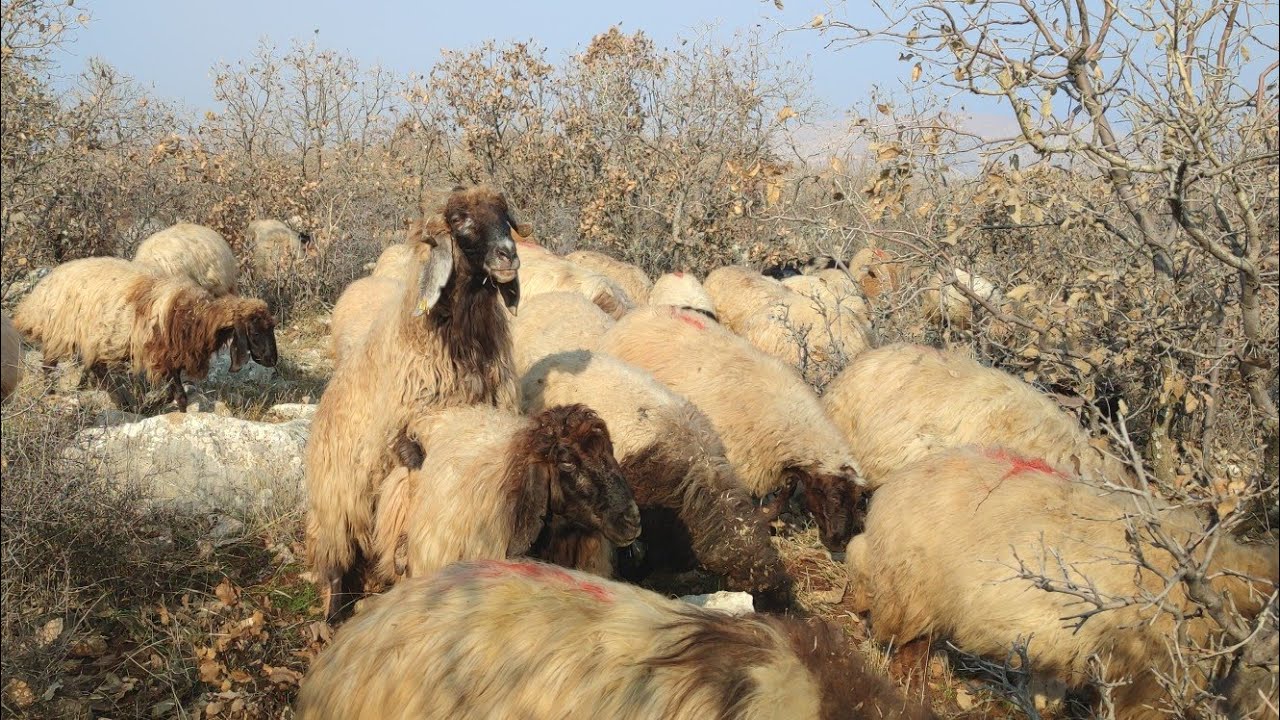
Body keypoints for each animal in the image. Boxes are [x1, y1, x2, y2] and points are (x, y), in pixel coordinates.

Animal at [12, 257, 277, 410]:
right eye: (254, 333)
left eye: (271, 328)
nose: (273, 360)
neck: (194, 315)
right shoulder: (161, 357)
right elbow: (177, 394)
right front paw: (169, 410)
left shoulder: (171, 358)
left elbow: (174, 392)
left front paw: (154, 405)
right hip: (61, 331)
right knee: (49, 364)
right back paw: (53, 393)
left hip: (92, 340)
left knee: (95, 368)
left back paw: (117, 399)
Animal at [305, 185, 524, 621]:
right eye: (459, 221)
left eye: (505, 216)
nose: (508, 255)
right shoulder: (407, 442)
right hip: (338, 500)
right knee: (335, 561)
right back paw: (334, 613)